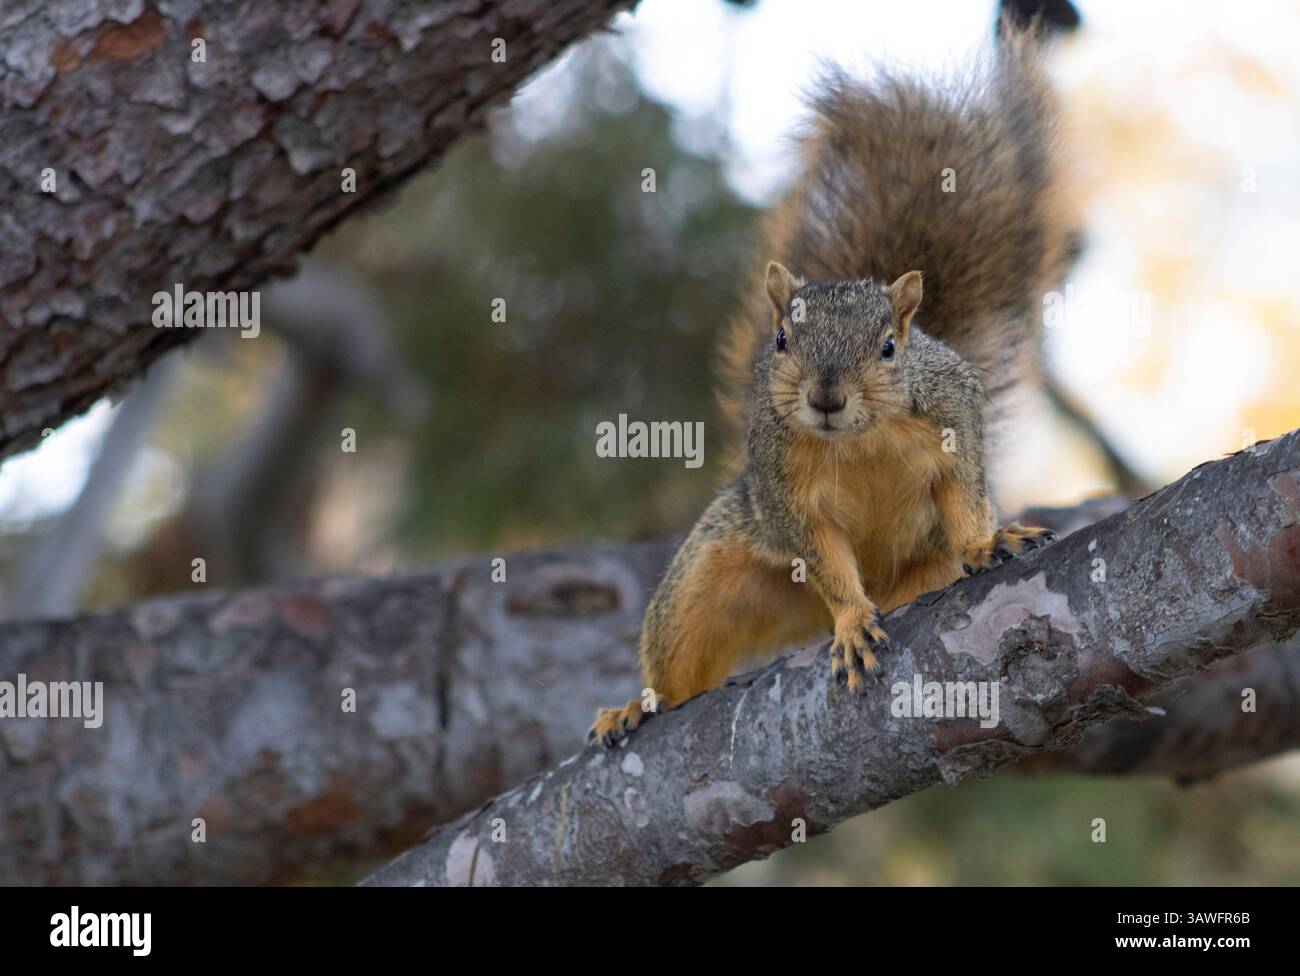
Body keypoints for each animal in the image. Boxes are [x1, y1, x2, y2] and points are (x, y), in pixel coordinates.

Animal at [590, 22, 1076, 747]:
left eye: (890, 348)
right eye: (781, 341)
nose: (825, 398)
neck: (859, 440)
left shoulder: (952, 417)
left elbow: (962, 498)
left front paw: (986, 541)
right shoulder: (789, 498)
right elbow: (824, 559)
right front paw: (850, 622)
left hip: (919, 573)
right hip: (716, 568)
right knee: (680, 657)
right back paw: (635, 706)